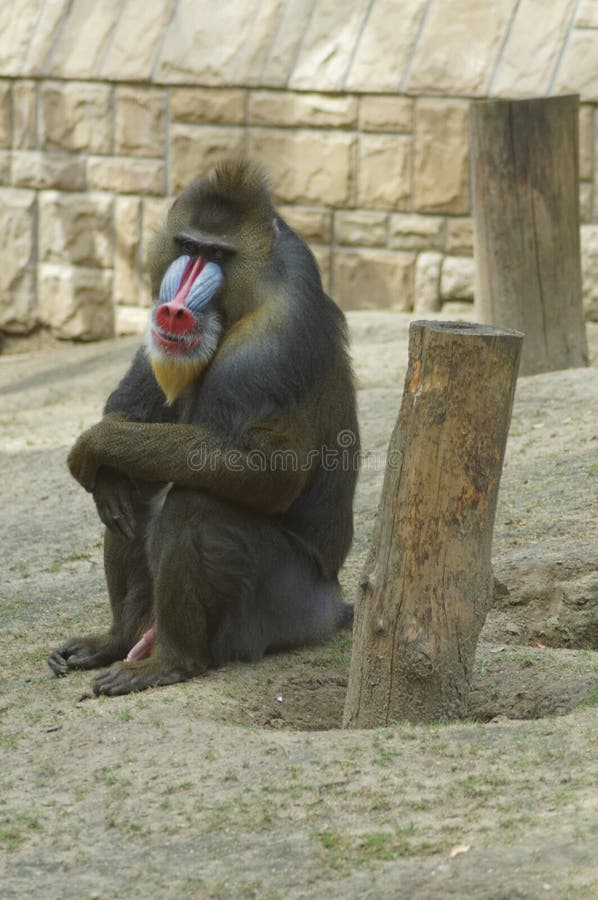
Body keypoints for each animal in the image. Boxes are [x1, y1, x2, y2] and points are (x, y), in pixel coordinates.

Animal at [47, 159, 360, 696]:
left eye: (217, 254)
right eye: (189, 248)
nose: (174, 309)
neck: (242, 296)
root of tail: (329, 605)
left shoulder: (271, 344)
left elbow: (266, 470)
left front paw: (91, 445)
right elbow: (129, 410)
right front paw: (105, 457)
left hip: (278, 608)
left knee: (195, 504)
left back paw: (171, 662)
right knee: (132, 488)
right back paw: (113, 641)